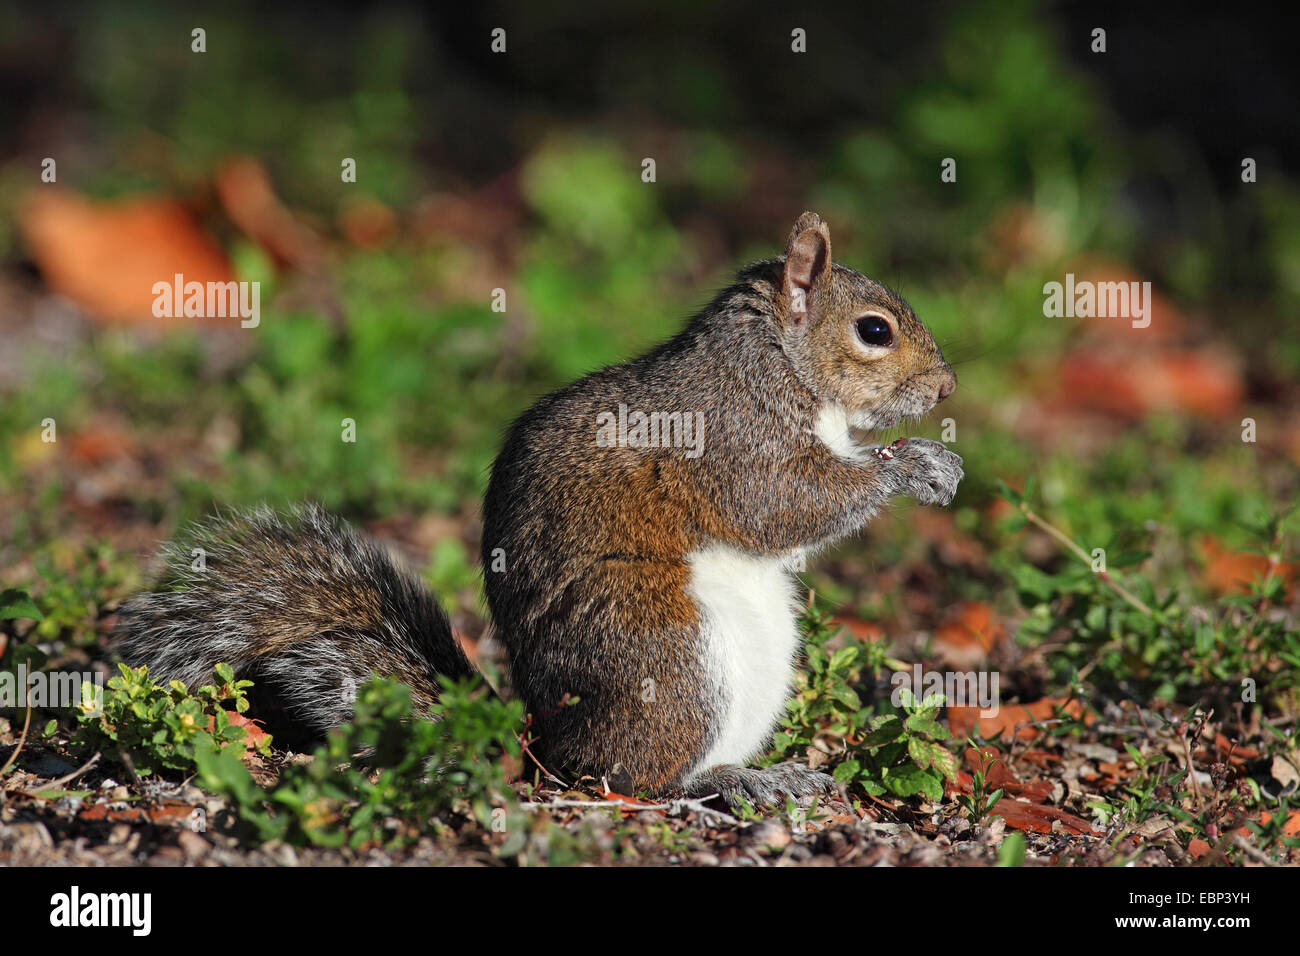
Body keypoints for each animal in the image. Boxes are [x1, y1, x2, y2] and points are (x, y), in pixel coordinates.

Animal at [118, 212, 962, 808]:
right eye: (874, 331)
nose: (948, 388)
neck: (779, 364)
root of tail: (538, 746)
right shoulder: (731, 436)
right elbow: (781, 506)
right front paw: (912, 464)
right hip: (670, 654)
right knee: (627, 776)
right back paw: (722, 783)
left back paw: (772, 774)